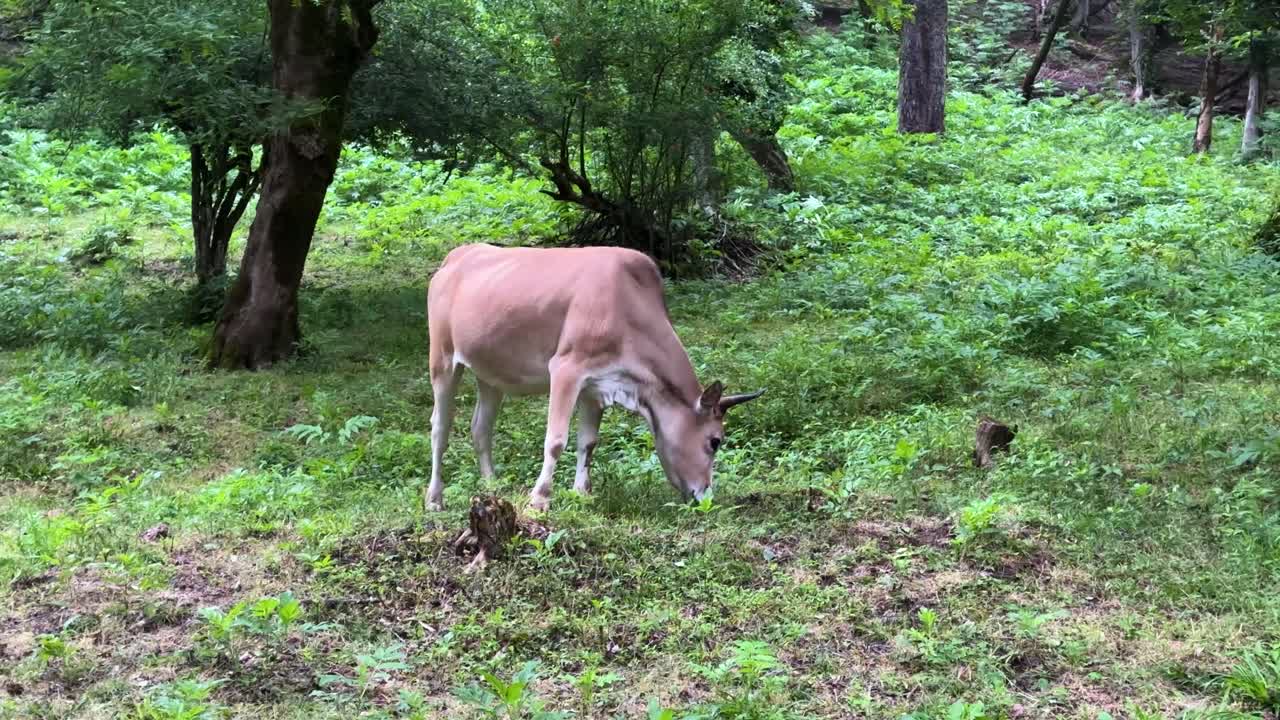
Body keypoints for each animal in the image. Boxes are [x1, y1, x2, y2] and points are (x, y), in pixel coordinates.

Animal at [424, 243, 764, 512]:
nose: (705, 496)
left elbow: (588, 442)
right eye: (715, 441)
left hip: (491, 373)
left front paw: (581, 494)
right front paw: (539, 499)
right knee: (440, 427)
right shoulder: (566, 369)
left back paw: (492, 487)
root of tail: (456, 256)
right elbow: (556, 440)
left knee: (481, 428)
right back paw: (434, 498)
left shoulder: (596, 385)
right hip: (442, 358)